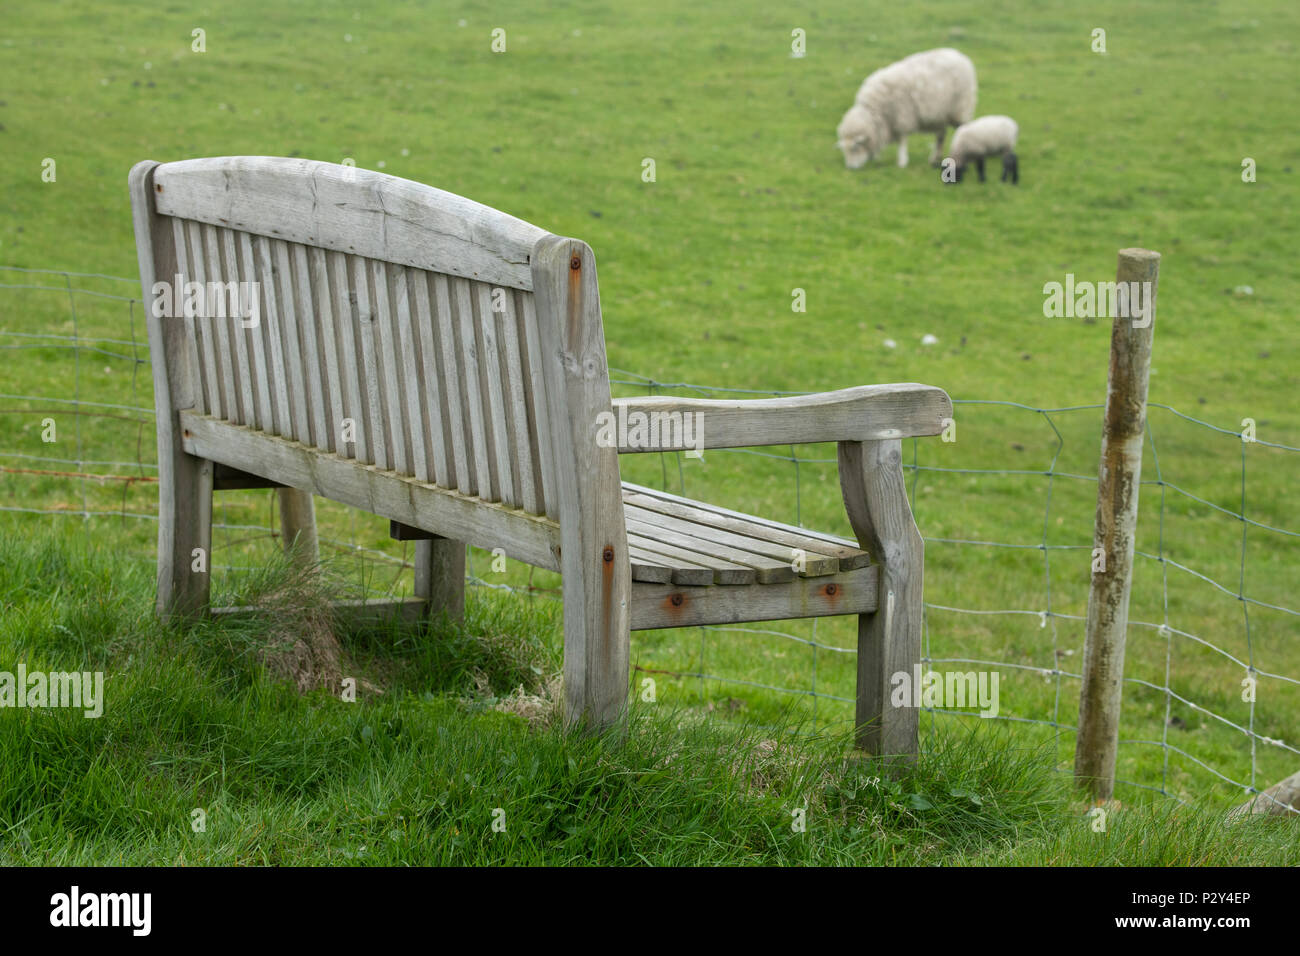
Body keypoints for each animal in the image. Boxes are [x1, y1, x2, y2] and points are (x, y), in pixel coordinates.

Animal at [836, 48, 977, 170]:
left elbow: (902, 141)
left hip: (961, 109)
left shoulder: (902, 118)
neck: (875, 111)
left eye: (854, 148)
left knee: (962, 131)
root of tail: (960, 55)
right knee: (940, 136)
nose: (851, 168)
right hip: (941, 114)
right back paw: (934, 159)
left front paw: (902, 162)